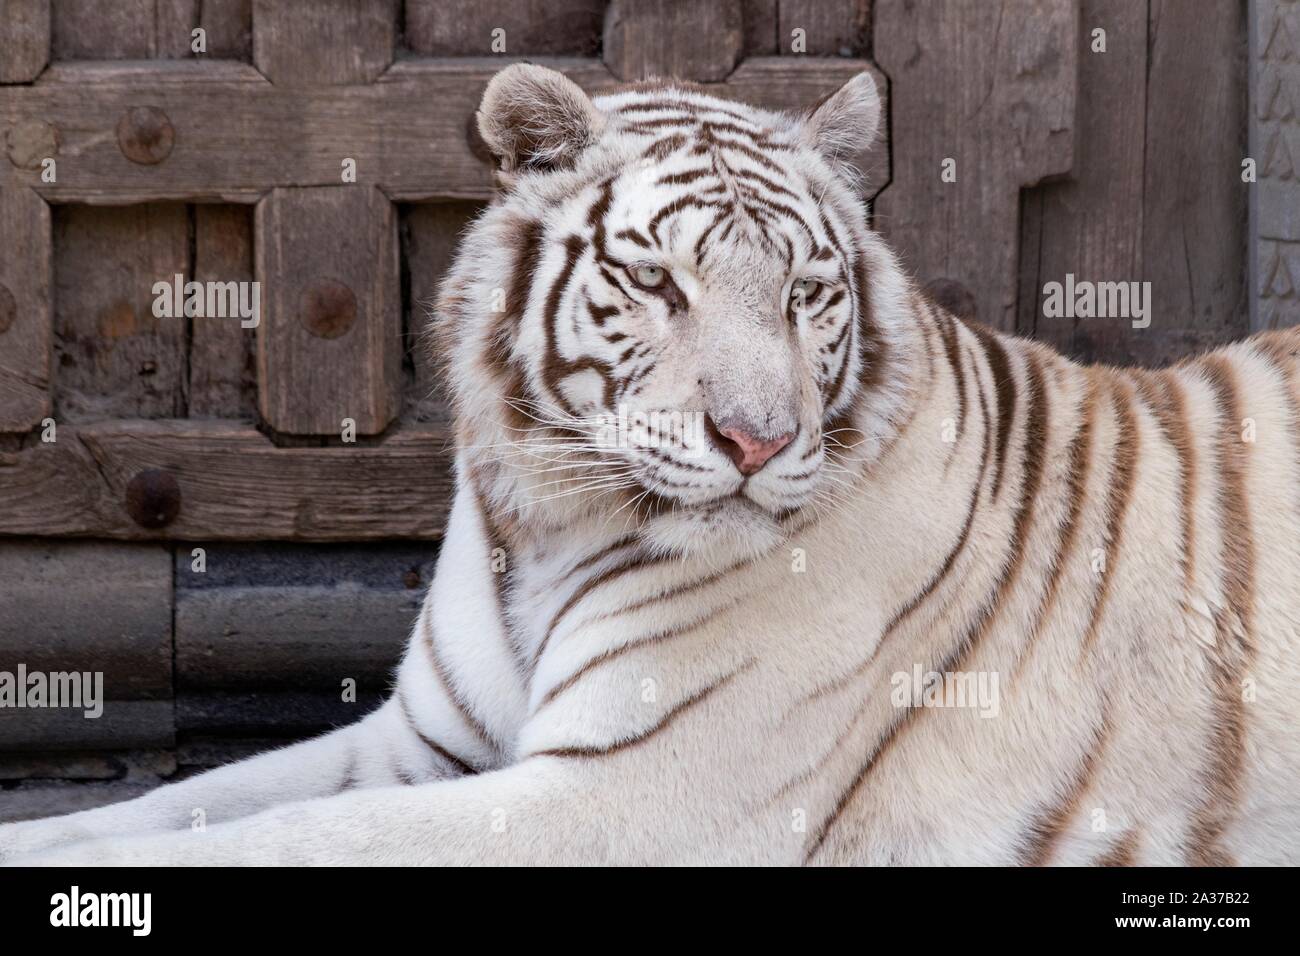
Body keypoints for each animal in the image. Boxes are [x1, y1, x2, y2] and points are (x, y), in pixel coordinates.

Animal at [3, 63, 1298, 866]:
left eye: (805, 291)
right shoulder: (418, 743)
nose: (757, 441)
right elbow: (175, 800)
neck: (539, 521)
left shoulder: (620, 796)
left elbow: (272, 841)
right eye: (656, 281)